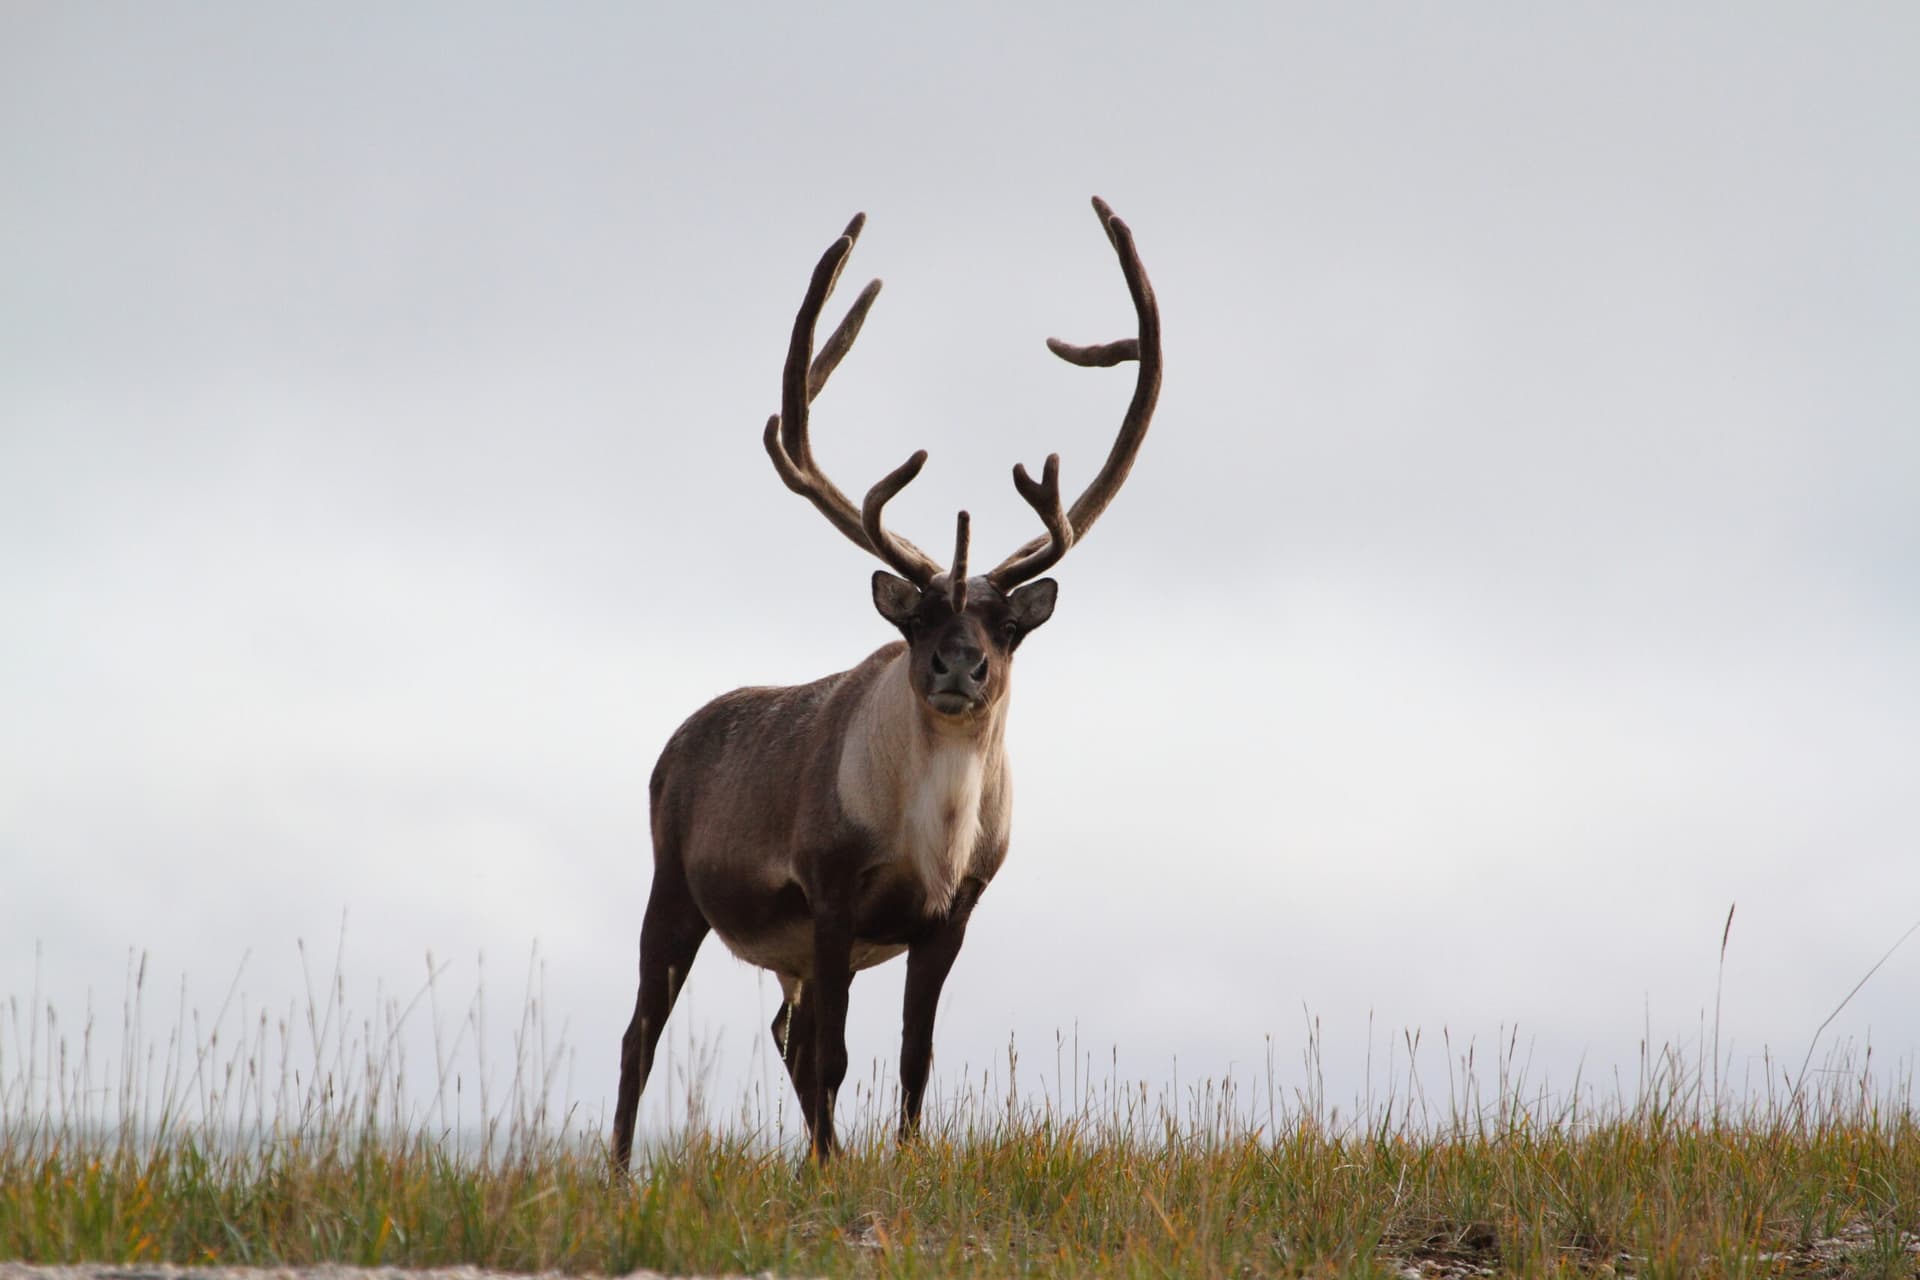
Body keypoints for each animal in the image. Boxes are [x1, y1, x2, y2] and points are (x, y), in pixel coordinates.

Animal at [611, 197, 1161, 1167]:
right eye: (917, 619)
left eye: (1006, 627)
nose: (959, 665)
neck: (933, 830)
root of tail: (672, 746)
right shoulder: (830, 892)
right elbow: (835, 1056)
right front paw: (831, 1170)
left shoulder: (951, 914)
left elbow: (913, 1057)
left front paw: (897, 1161)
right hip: (675, 889)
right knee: (643, 1035)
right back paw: (616, 1173)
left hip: (776, 946)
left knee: (782, 1037)